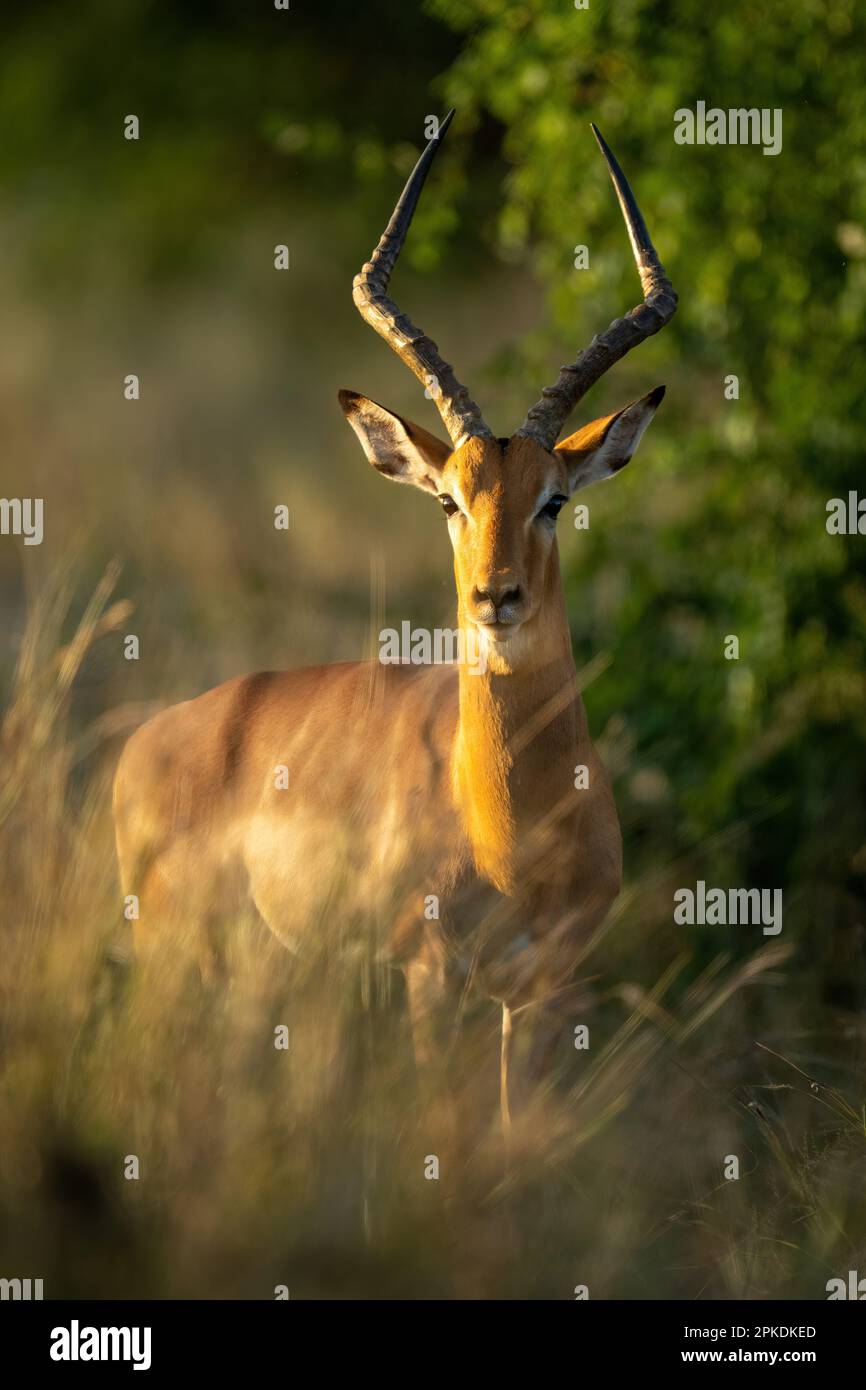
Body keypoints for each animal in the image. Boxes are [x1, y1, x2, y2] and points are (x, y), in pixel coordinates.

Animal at [113, 114, 676, 1126]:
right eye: (449, 499)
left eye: (556, 500)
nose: (496, 598)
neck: (511, 829)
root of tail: (149, 741)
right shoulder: (428, 974)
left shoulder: (545, 985)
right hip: (173, 950)